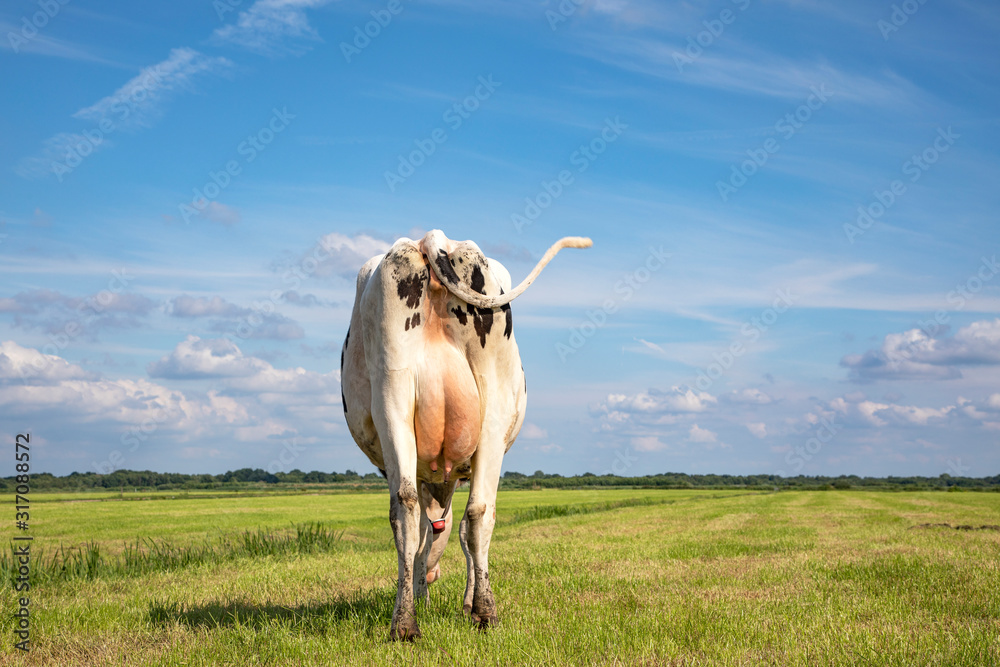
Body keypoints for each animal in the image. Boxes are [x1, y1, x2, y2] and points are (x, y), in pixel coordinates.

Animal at [340, 229, 591, 640]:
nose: (433, 576)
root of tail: (432, 239)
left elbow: (428, 534)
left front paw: (431, 599)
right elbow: (460, 533)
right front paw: (467, 603)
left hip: (395, 388)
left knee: (406, 508)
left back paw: (405, 623)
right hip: (492, 399)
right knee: (479, 514)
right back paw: (484, 611)